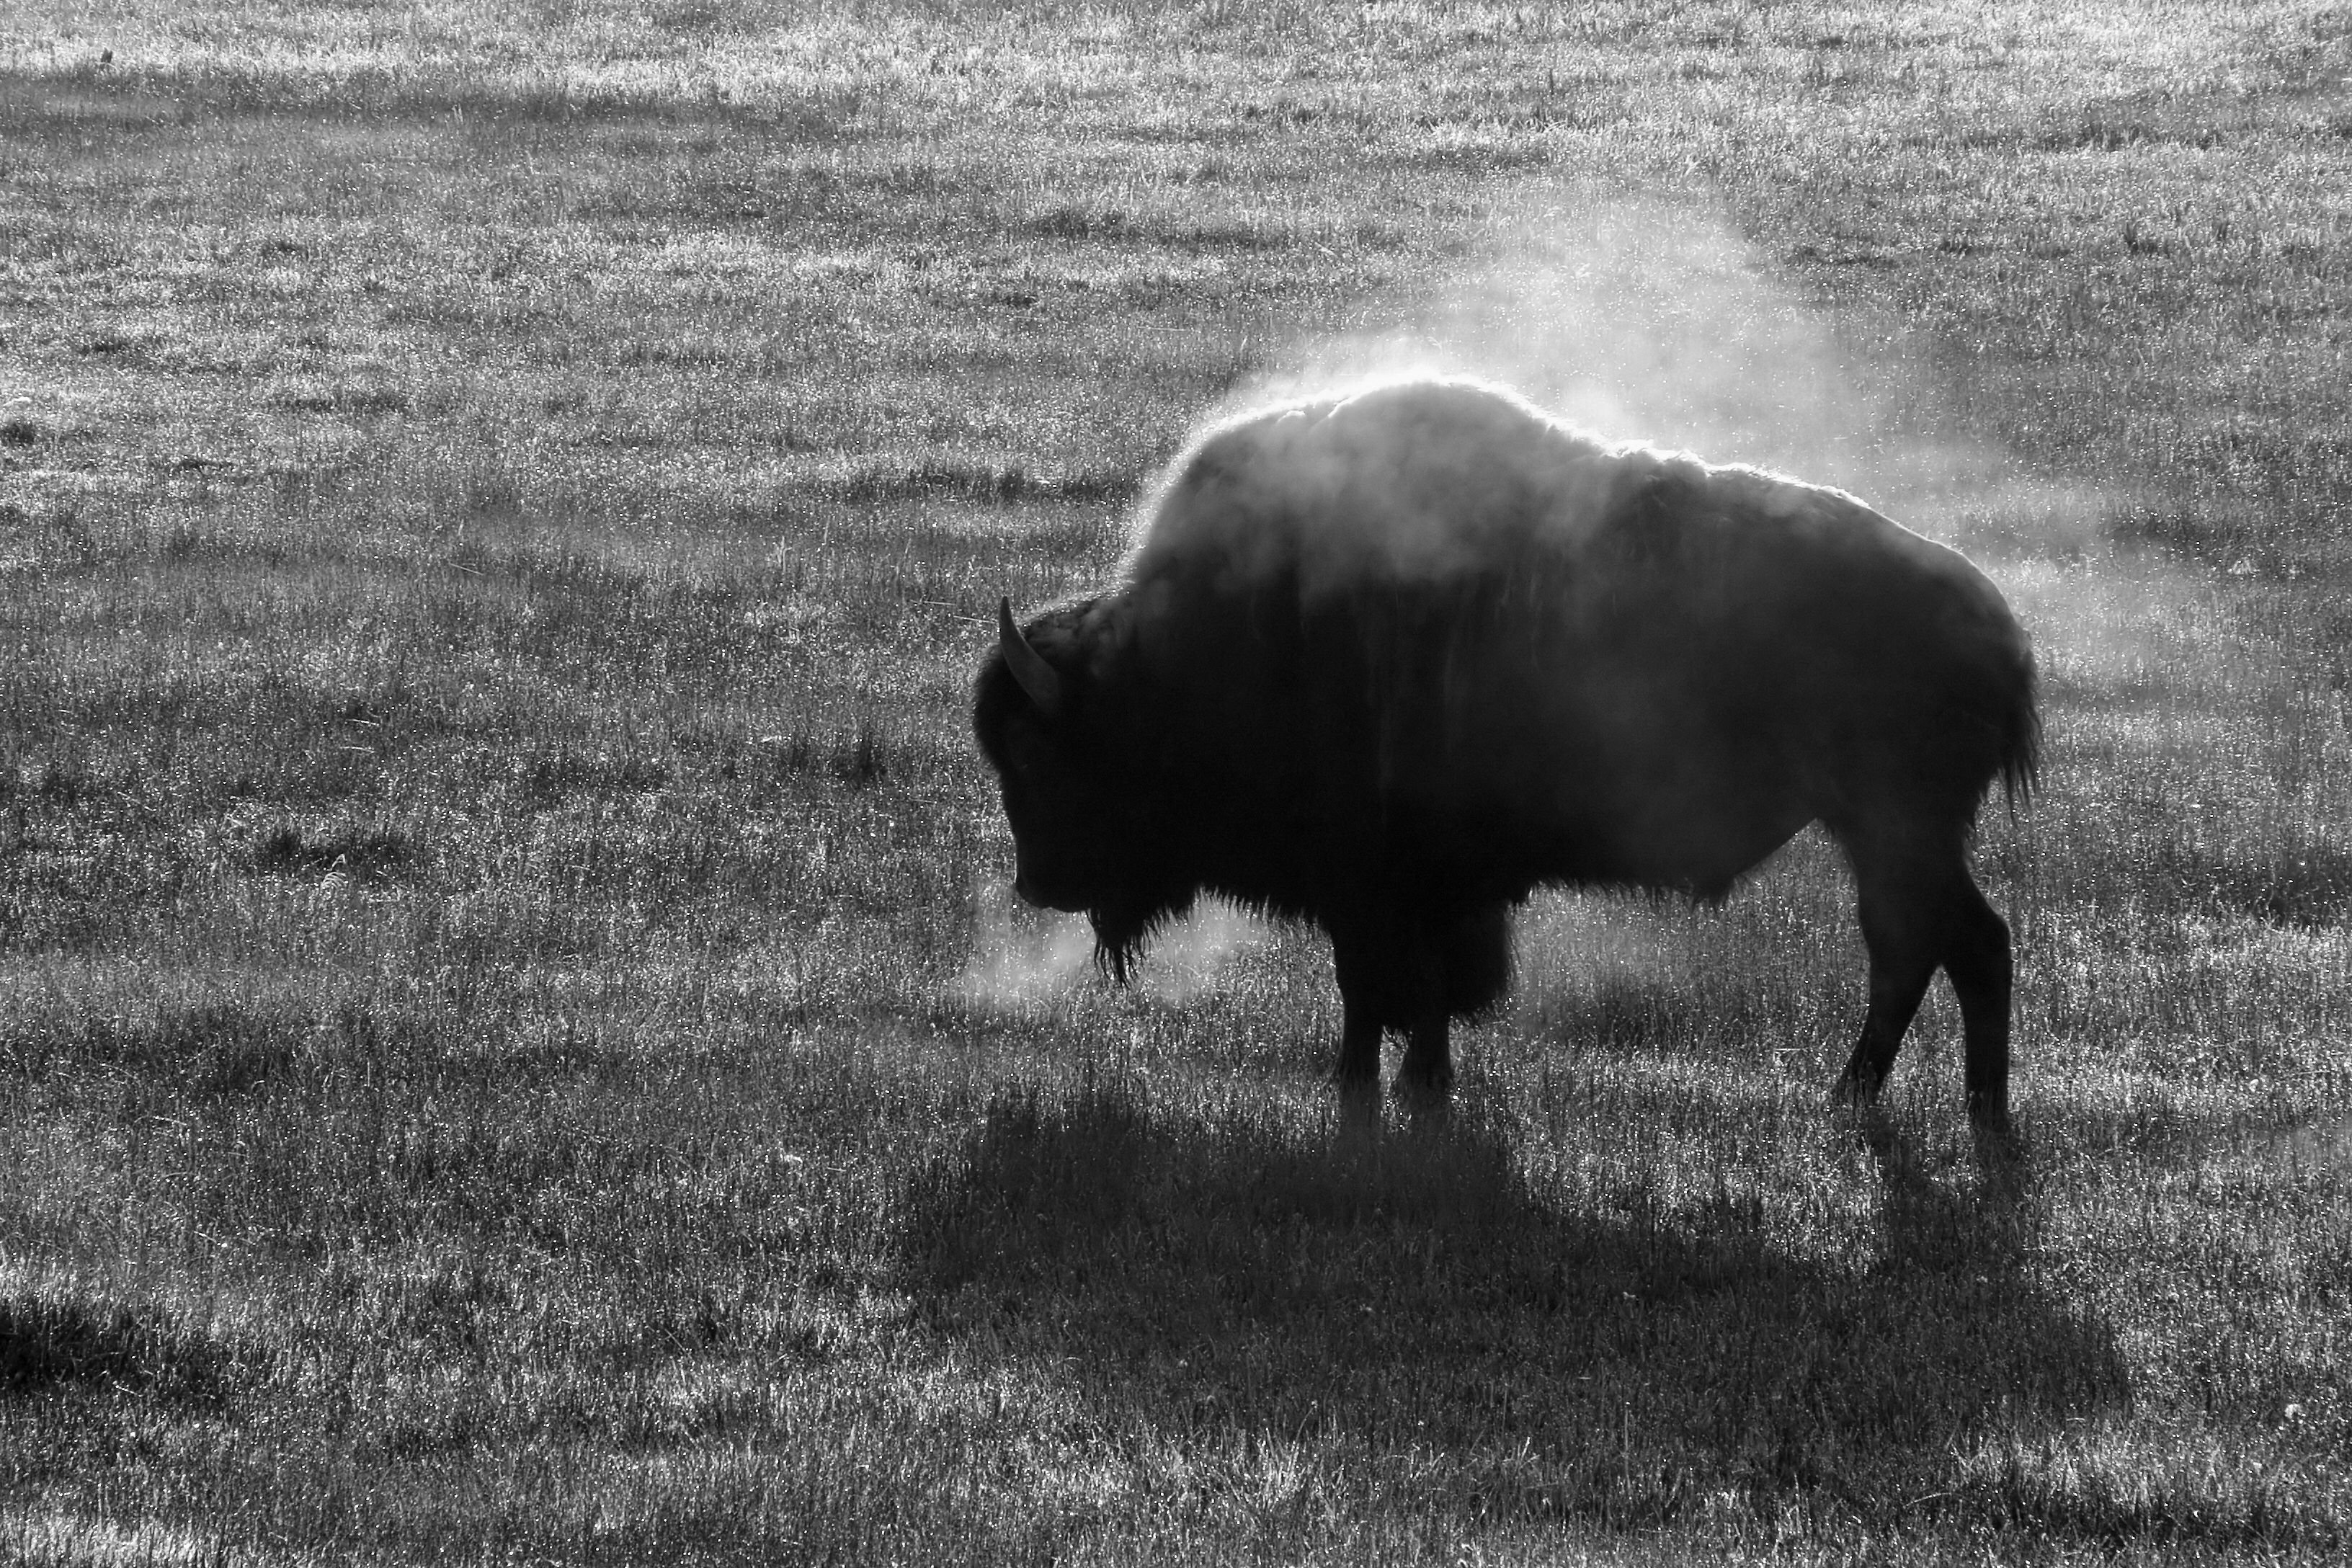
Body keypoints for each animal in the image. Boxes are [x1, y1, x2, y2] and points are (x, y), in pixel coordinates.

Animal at [975, 378, 2037, 1131]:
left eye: (1034, 757)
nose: (1037, 885)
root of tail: (1999, 628)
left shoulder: (1376, 888)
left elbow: (1380, 988)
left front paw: (1369, 1093)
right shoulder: (1431, 893)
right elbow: (1421, 993)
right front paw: (1413, 1087)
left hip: (1895, 829)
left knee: (1944, 946)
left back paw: (1916, 1106)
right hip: (1884, 833)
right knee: (1932, 947)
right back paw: (1904, 1104)